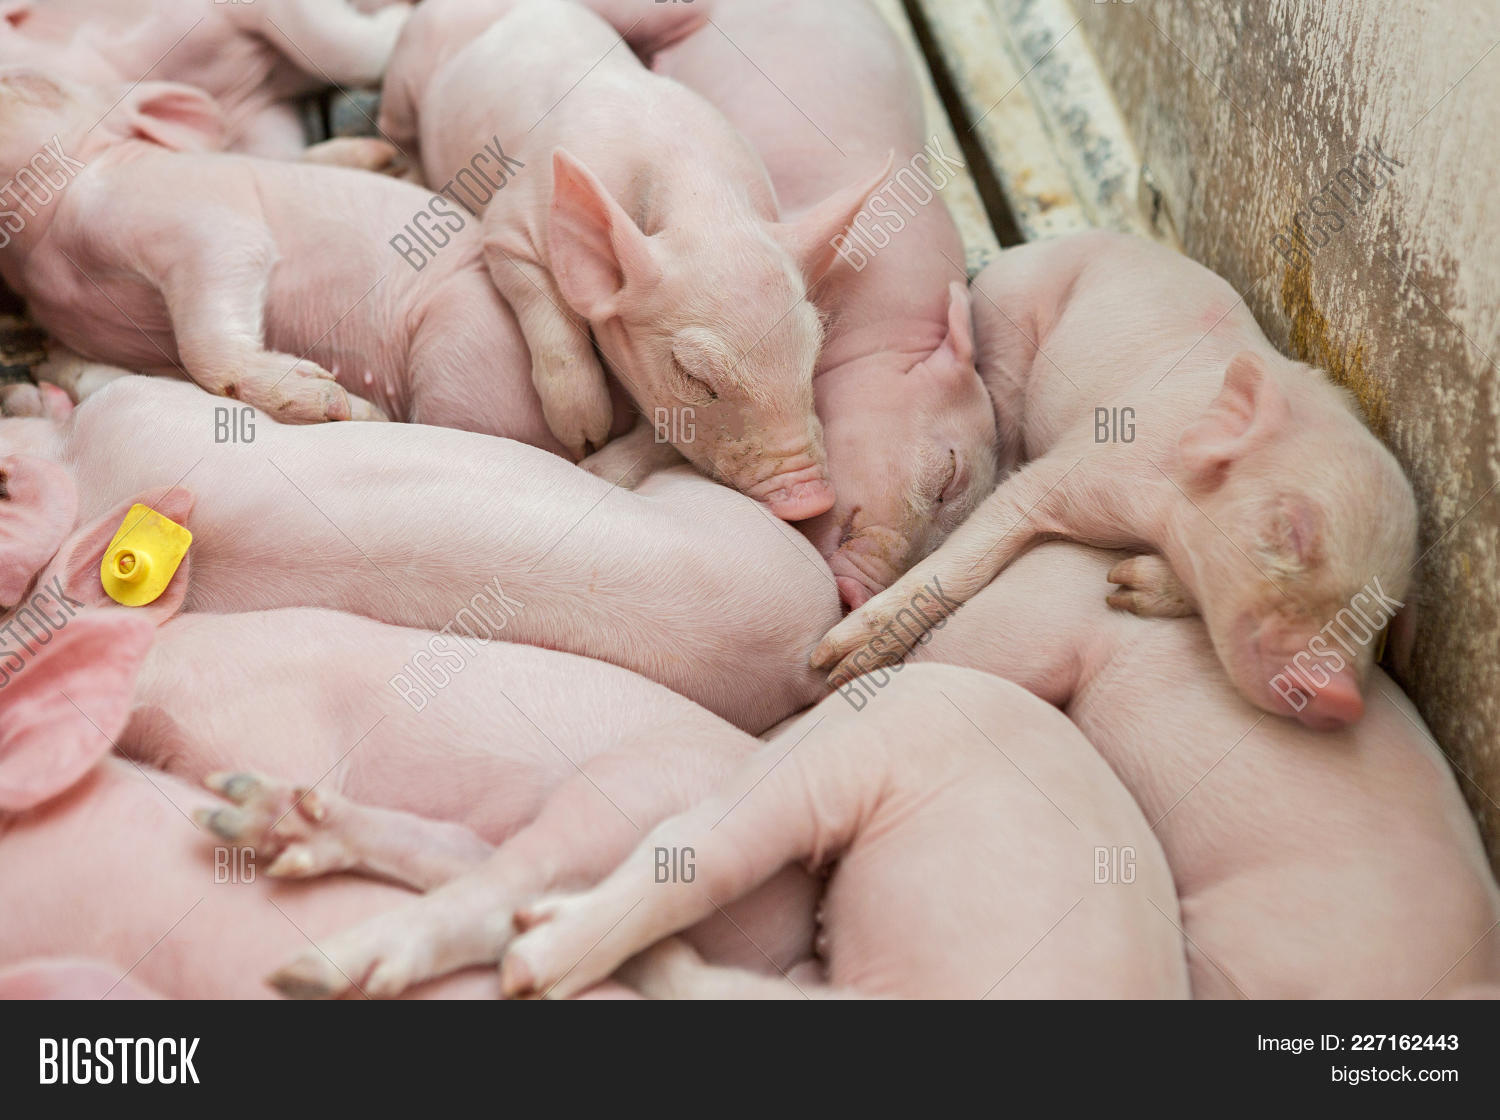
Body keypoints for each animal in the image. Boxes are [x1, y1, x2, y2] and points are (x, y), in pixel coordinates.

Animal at [0, 69, 583, 441]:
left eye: (25, 83)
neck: (42, 258)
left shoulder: (188, 214)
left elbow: (210, 329)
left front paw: (332, 402)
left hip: (465, 343)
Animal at [382, 0, 886, 518]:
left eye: (813, 356)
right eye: (694, 375)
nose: (811, 500)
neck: (703, 203)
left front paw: (596, 468)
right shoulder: (508, 227)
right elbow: (549, 316)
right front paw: (584, 439)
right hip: (403, 76)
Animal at [814, 232, 1419, 730]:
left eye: (1385, 612)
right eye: (1289, 529)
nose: (1341, 697)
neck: (1157, 519)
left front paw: (1125, 588)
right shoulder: (1087, 462)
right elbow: (981, 544)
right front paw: (837, 663)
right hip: (1007, 331)